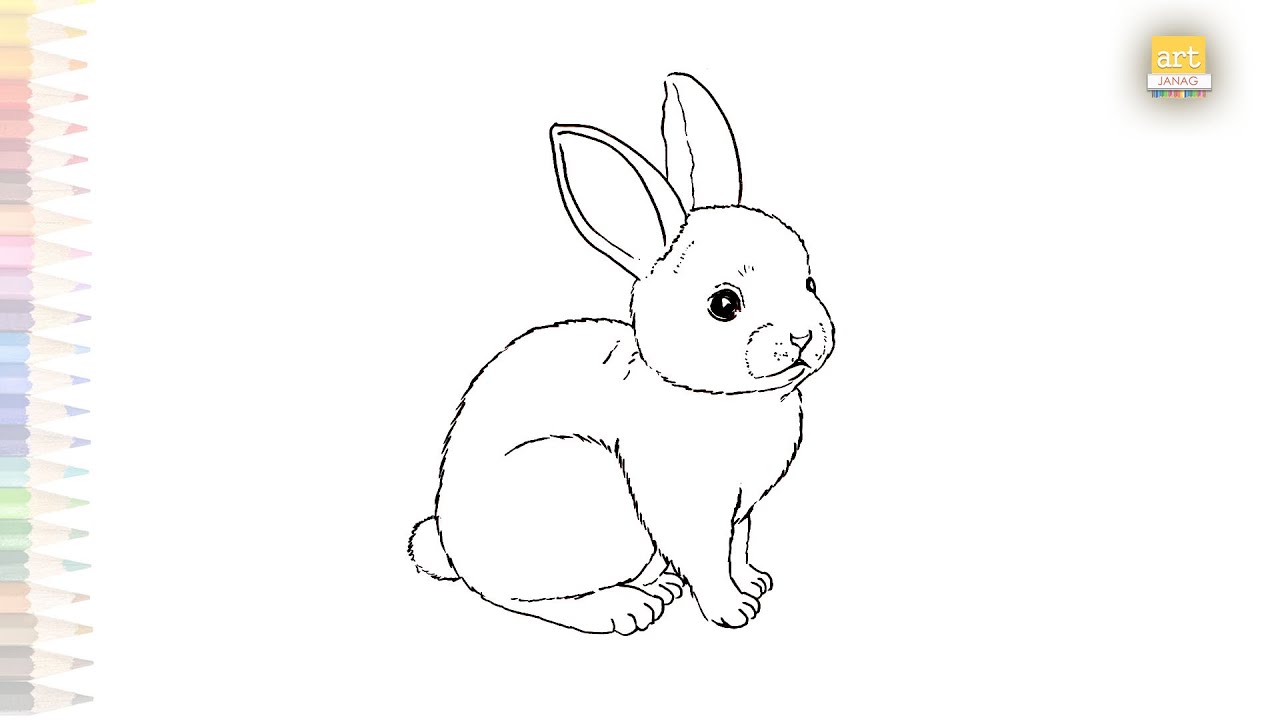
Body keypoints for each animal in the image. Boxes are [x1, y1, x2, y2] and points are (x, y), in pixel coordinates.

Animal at [409, 73, 834, 634]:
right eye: (724, 304)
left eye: (809, 283)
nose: (805, 337)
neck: (716, 397)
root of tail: (453, 549)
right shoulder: (684, 504)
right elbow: (707, 559)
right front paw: (733, 610)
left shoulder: (740, 511)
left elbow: (735, 549)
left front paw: (753, 583)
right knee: (521, 598)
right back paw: (624, 608)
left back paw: (658, 587)